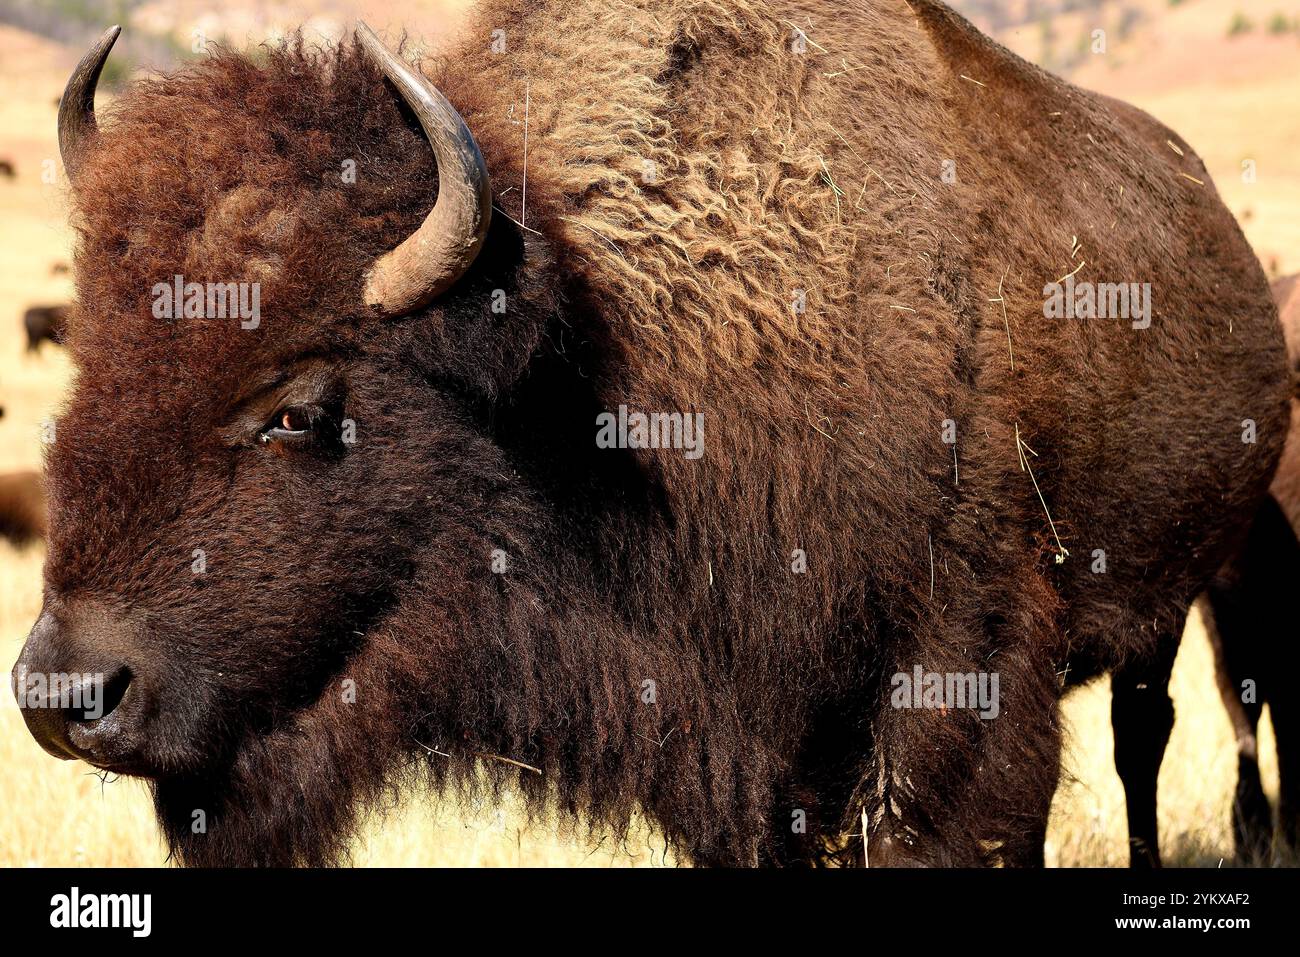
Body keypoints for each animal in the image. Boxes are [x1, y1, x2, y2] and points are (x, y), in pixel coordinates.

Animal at [11, 0, 1291, 866]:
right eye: (89, 361)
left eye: (300, 411)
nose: (66, 694)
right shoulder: (744, 748)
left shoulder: (960, 697)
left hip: (1171, 601)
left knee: (1145, 735)